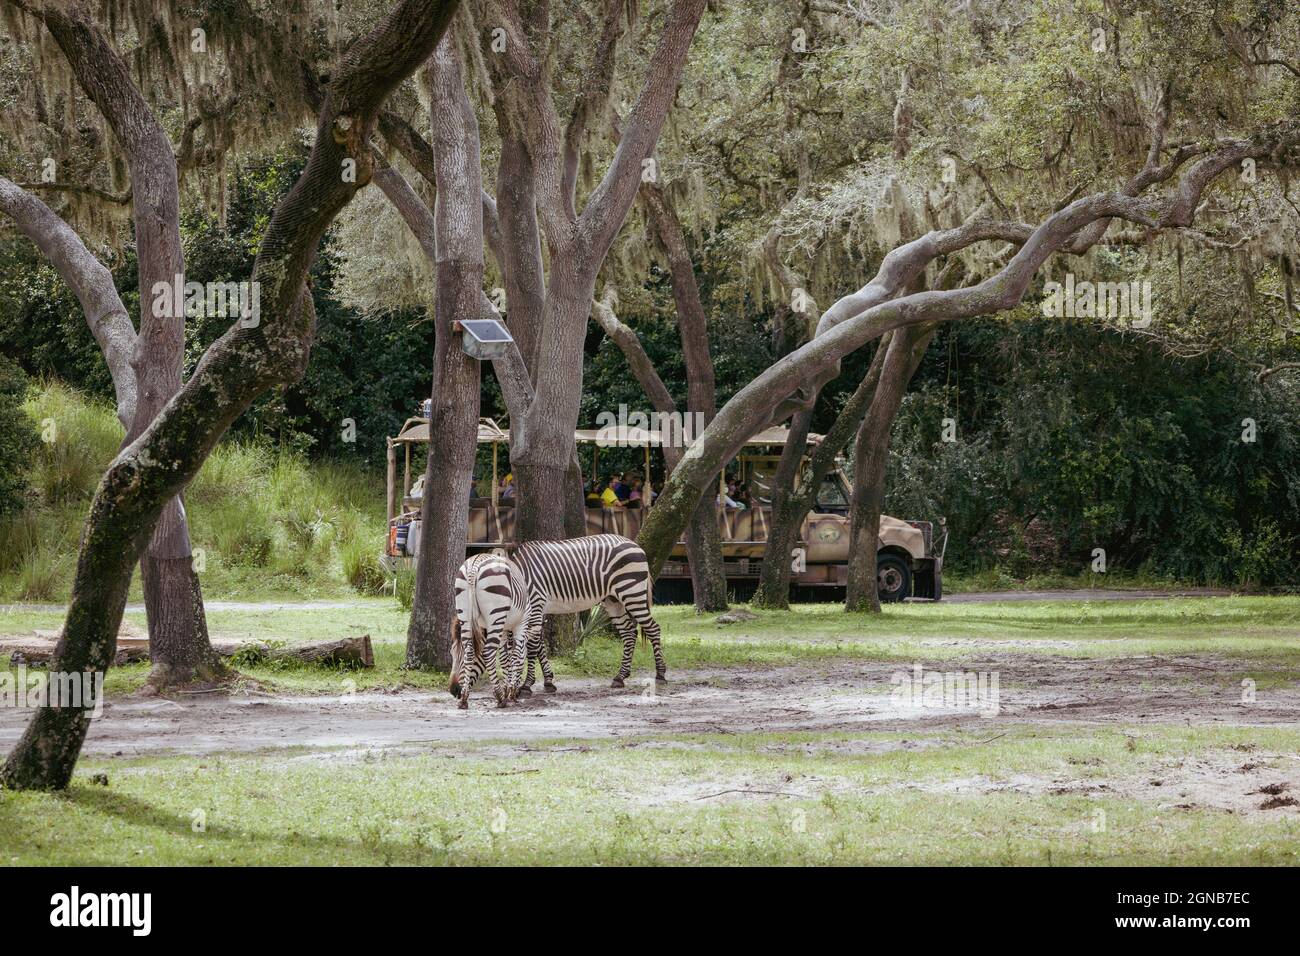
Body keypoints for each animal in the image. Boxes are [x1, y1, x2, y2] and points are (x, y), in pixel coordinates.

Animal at [448, 553, 529, 709]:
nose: (453, 691)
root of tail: (473, 566)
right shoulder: (522, 623)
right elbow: (517, 655)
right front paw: (510, 692)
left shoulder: (505, 629)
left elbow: (505, 657)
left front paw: (508, 689)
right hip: (496, 612)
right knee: (488, 652)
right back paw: (500, 697)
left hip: (464, 612)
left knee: (469, 650)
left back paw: (464, 700)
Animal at [509, 534, 666, 693]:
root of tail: (634, 544)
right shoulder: (538, 610)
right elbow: (540, 645)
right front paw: (548, 681)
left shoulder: (536, 602)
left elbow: (532, 645)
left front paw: (527, 684)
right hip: (613, 600)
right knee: (629, 633)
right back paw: (620, 677)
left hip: (632, 592)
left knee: (653, 628)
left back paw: (660, 675)